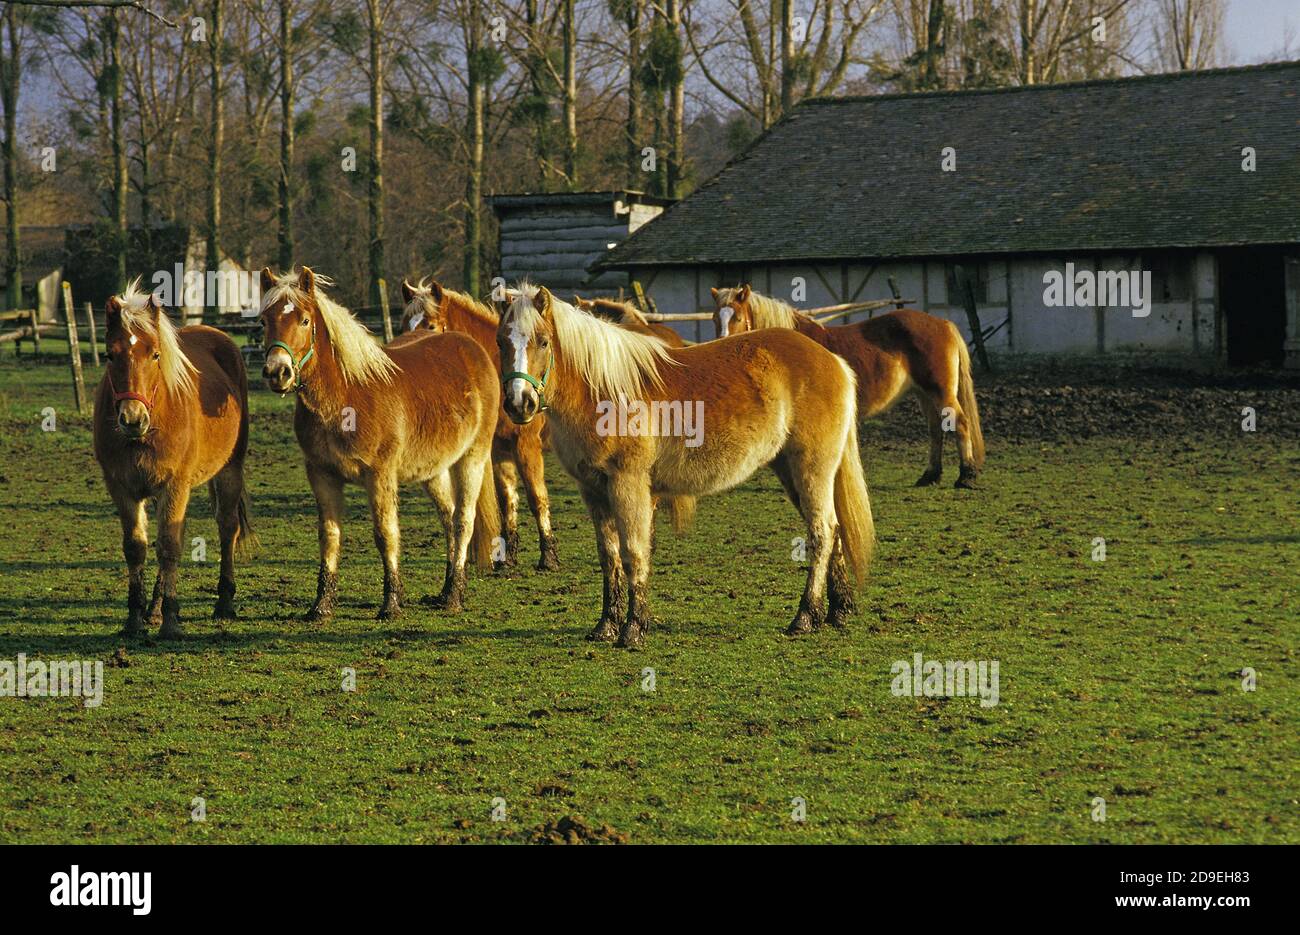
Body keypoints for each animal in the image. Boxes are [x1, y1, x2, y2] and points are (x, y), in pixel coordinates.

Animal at [93, 281, 253, 638]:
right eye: (110, 355)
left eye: (155, 354)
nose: (132, 419)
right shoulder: (121, 488)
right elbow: (137, 547)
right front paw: (135, 618)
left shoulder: (175, 484)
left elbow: (169, 547)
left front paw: (171, 622)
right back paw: (154, 608)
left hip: (229, 470)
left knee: (227, 527)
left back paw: (224, 602)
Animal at [259, 266, 500, 619]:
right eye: (264, 320)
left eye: (303, 320)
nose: (278, 372)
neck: (347, 395)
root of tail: (471, 348)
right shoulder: (321, 475)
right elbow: (330, 535)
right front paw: (321, 606)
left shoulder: (380, 476)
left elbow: (386, 534)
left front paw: (391, 603)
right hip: (433, 471)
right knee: (448, 516)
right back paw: (446, 590)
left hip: (472, 459)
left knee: (463, 521)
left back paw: (454, 596)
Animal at [397, 278, 558, 571]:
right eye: (404, 326)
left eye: (430, 326)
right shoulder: (499, 449)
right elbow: (507, 500)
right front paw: (508, 556)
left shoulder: (526, 446)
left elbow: (536, 497)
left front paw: (548, 558)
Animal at [500, 282, 875, 649]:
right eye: (502, 342)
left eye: (543, 341)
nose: (520, 403)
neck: (603, 392)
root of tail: (834, 361)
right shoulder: (593, 491)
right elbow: (609, 557)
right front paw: (606, 625)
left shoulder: (628, 485)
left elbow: (633, 553)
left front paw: (633, 629)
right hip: (791, 471)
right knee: (834, 530)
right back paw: (837, 611)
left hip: (812, 469)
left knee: (822, 532)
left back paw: (805, 616)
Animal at [711, 285, 986, 488]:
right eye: (715, 318)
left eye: (737, 317)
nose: (722, 349)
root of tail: (942, 323)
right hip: (924, 393)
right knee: (936, 430)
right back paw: (930, 476)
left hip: (941, 392)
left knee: (960, 424)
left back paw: (966, 476)